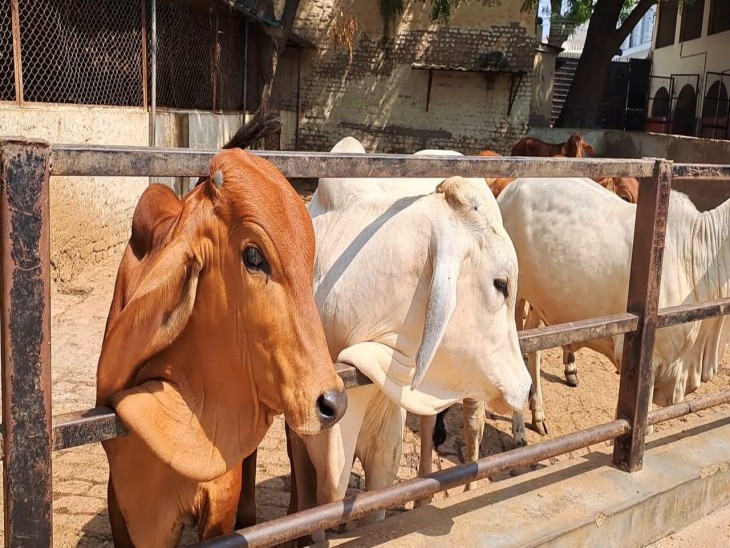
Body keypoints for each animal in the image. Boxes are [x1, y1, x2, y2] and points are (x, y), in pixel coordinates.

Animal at [280, 136, 531, 536]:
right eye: (501, 284)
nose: (525, 387)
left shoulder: (385, 445)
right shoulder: (303, 437)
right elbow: (311, 509)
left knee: (447, 427)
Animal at [497, 176, 730, 439]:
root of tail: (511, 188)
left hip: (540, 300)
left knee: (534, 348)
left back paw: (538, 415)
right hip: (515, 297)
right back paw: (519, 431)